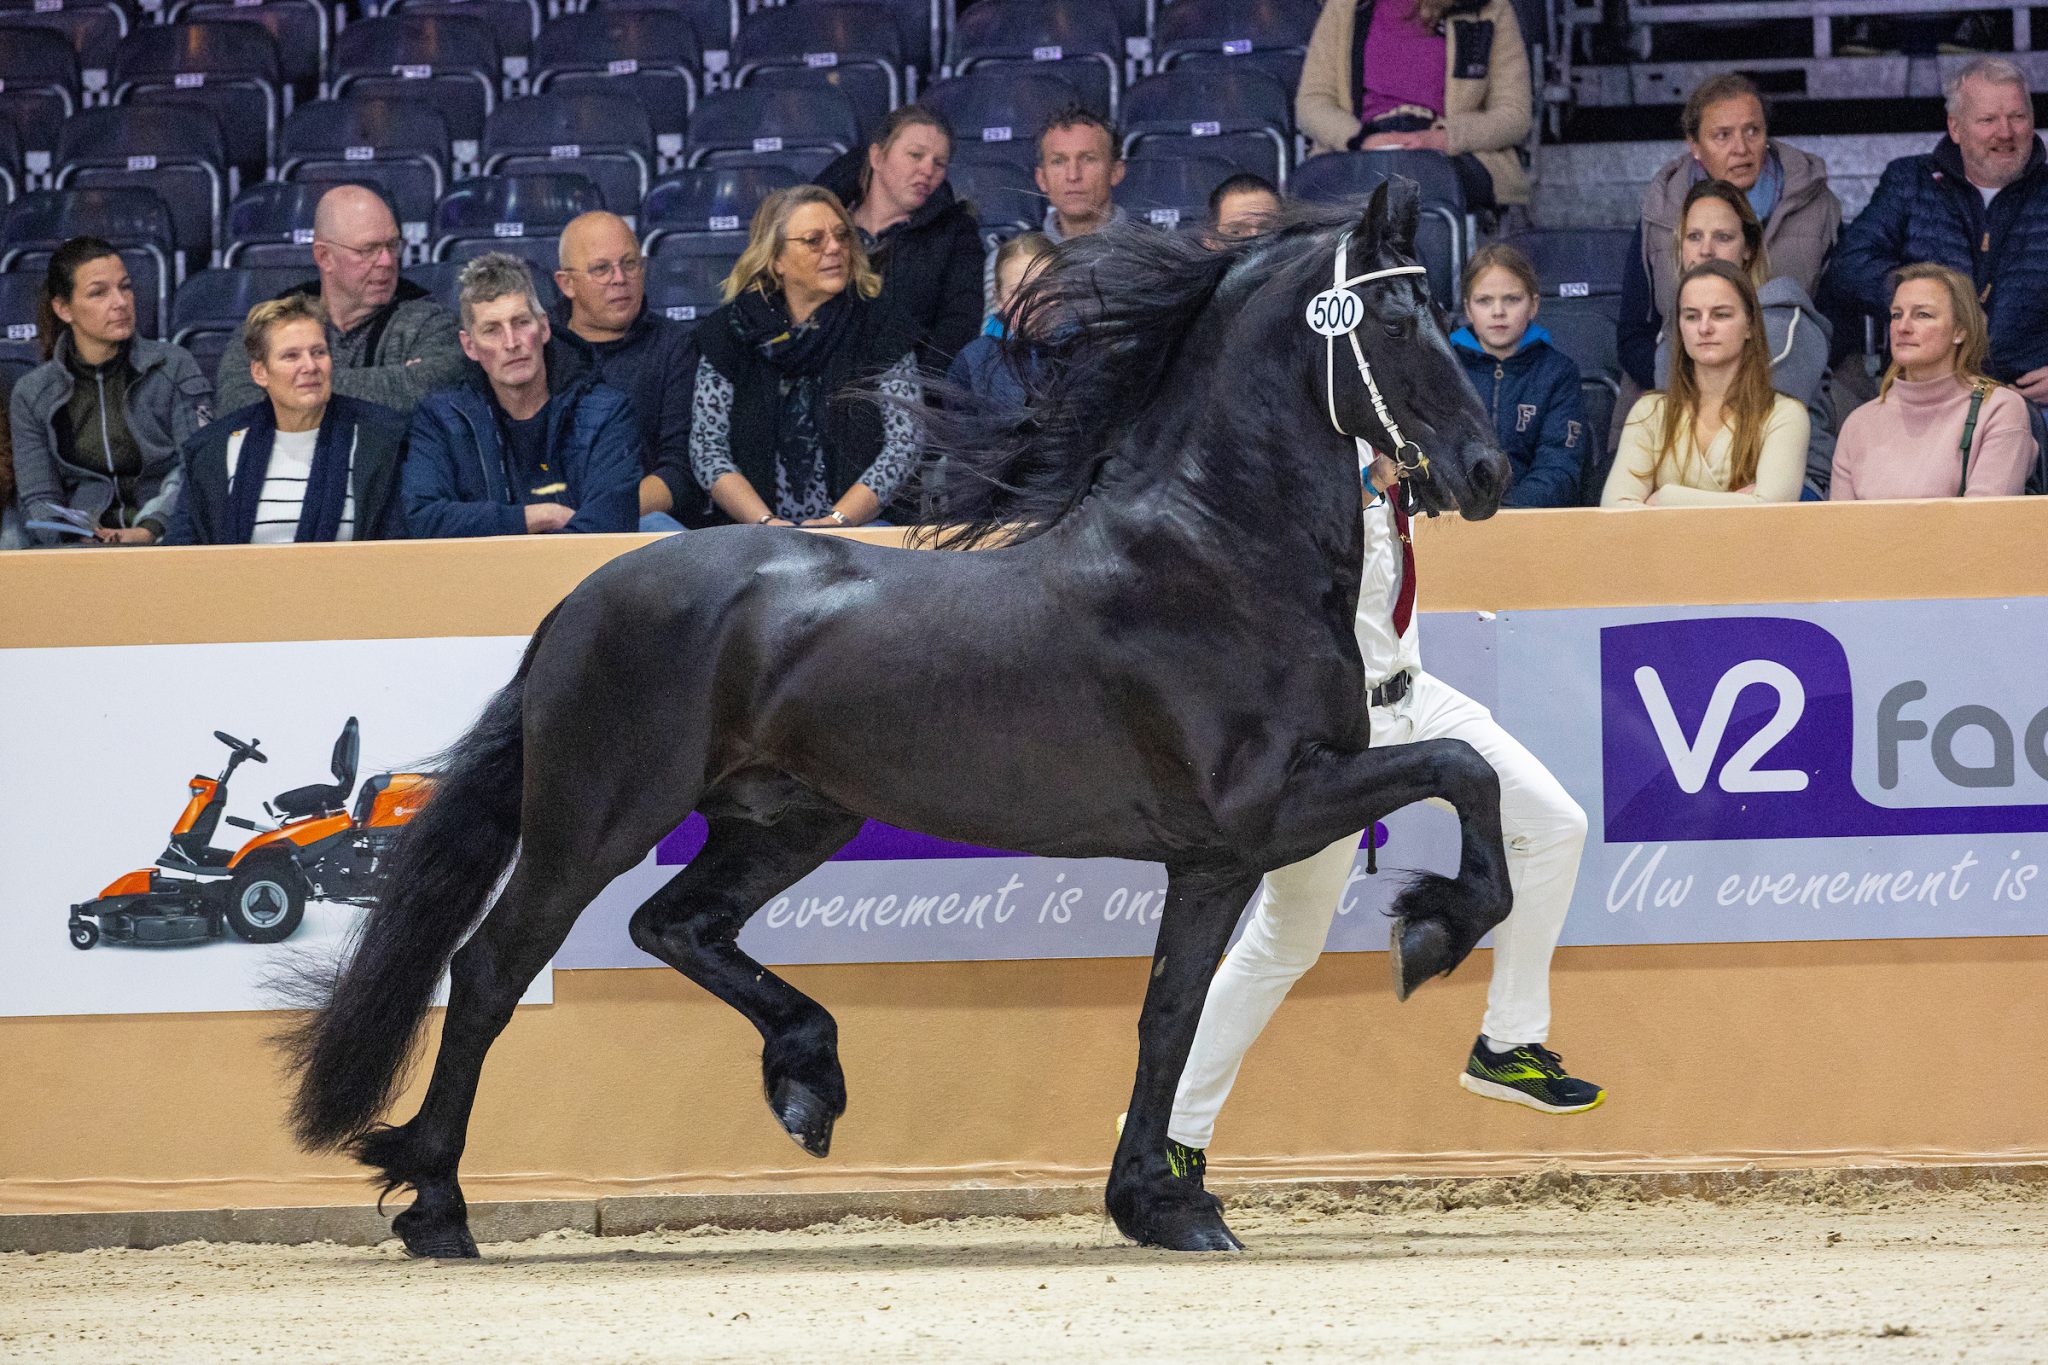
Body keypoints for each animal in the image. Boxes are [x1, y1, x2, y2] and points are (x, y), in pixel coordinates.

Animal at [275, 178, 1516, 1258]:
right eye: (1397, 321)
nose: (1485, 469)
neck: (1215, 556)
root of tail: (575, 605)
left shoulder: (1217, 854)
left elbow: (1169, 1014)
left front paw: (1158, 1206)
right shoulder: (1268, 805)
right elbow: (1465, 769)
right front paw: (1432, 930)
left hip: (788, 818)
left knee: (674, 925)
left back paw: (806, 1083)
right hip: (594, 820)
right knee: (491, 970)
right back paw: (437, 1206)